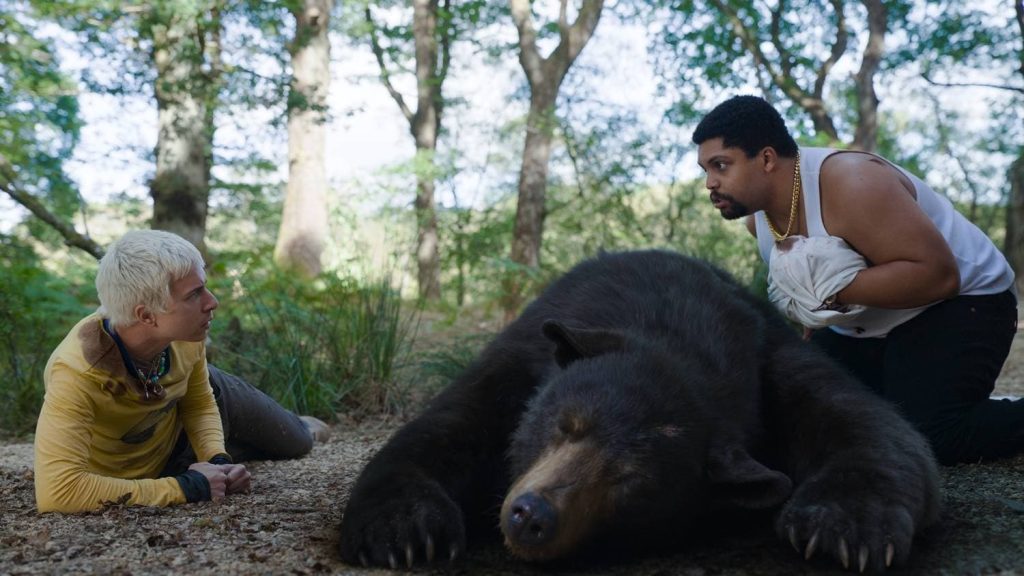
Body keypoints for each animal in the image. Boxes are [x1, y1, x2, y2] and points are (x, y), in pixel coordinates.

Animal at [339, 249, 940, 572]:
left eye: (630, 480)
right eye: (565, 426)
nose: (532, 515)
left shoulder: (772, 356)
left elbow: (872, 426)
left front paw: (844, 527)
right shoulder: (525, 354)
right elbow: (447, 428)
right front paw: (405, 530)